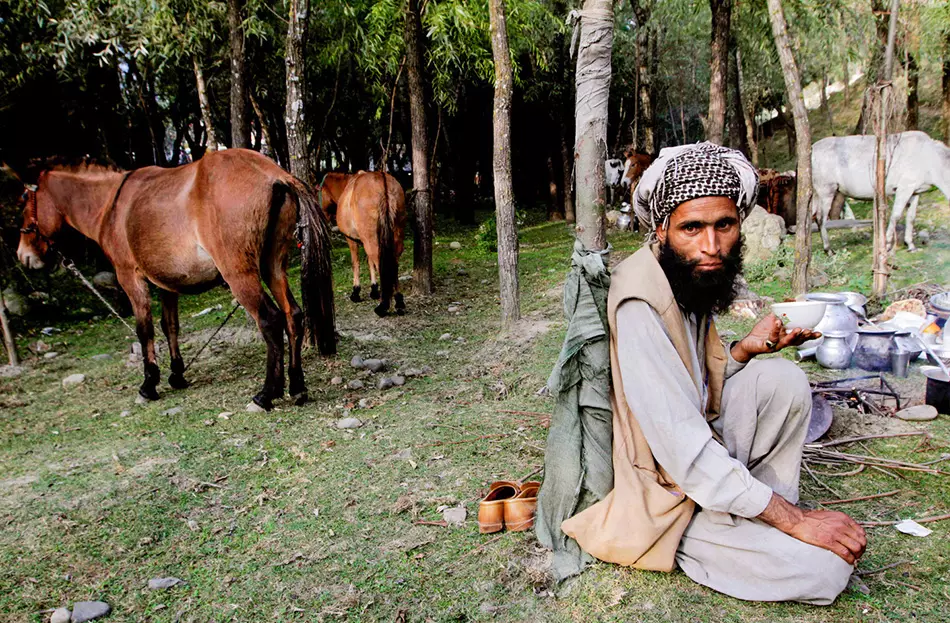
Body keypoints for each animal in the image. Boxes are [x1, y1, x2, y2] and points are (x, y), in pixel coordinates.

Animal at [14, 149, 338, 412]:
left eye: (23, 201)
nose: (23, 255)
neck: (111, 205)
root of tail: (274, 174)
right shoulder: (165, 284)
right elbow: (170, 325)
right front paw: (176, 374)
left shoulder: (130, 277)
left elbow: (144, 329)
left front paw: (149, 384)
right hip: (273, 267)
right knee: (293, 315)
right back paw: (296, 386)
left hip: (240, 274)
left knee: (270, 320)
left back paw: (266, 394)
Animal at [322, 171, 408, 316]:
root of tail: (382, 180)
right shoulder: (365, 240)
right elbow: (370, 263)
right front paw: (374, 289)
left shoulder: (351, 239)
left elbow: (355, 263)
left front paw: (356, 291)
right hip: (394, 237)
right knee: (393, 265)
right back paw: (399, 302)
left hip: (372, 240)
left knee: (381, 265)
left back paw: (383, 305)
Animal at [812, 130, 950, 252]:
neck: (929, 159)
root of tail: (812, 149)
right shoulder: (904, 188)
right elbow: (895, 216)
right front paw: (887, 244)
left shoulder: (915, 192)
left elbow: (911, 218)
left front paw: (911, 245)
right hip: (826, 190)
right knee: (821, 218)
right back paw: (828, 249)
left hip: (816, 193)